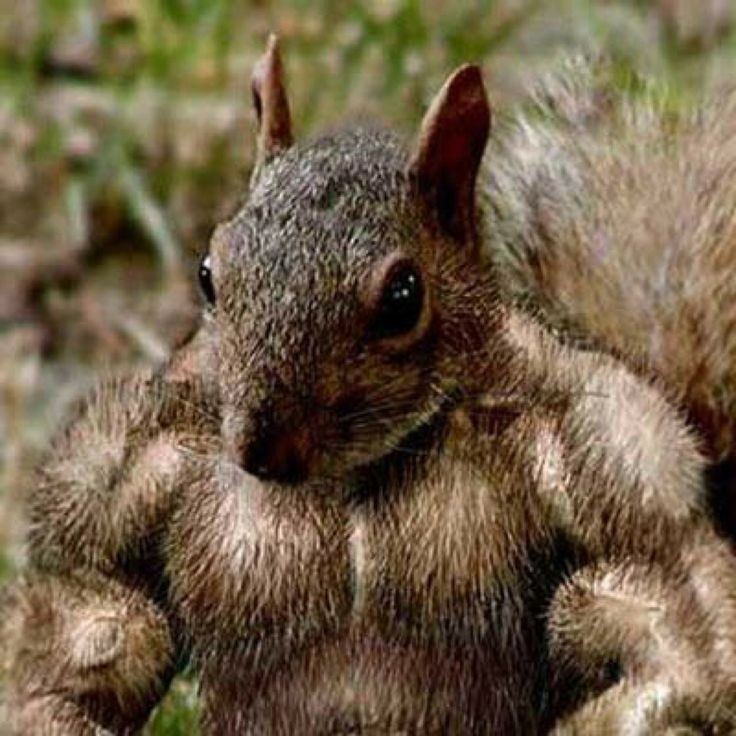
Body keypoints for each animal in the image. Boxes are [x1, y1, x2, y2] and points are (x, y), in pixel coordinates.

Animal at [3, 36, 736, 734]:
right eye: (209, 273)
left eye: (403, 298)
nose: (261, 452)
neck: (351, 477)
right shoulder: (122, 472)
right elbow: (97, 621)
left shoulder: (617, 461)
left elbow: (683, 635)